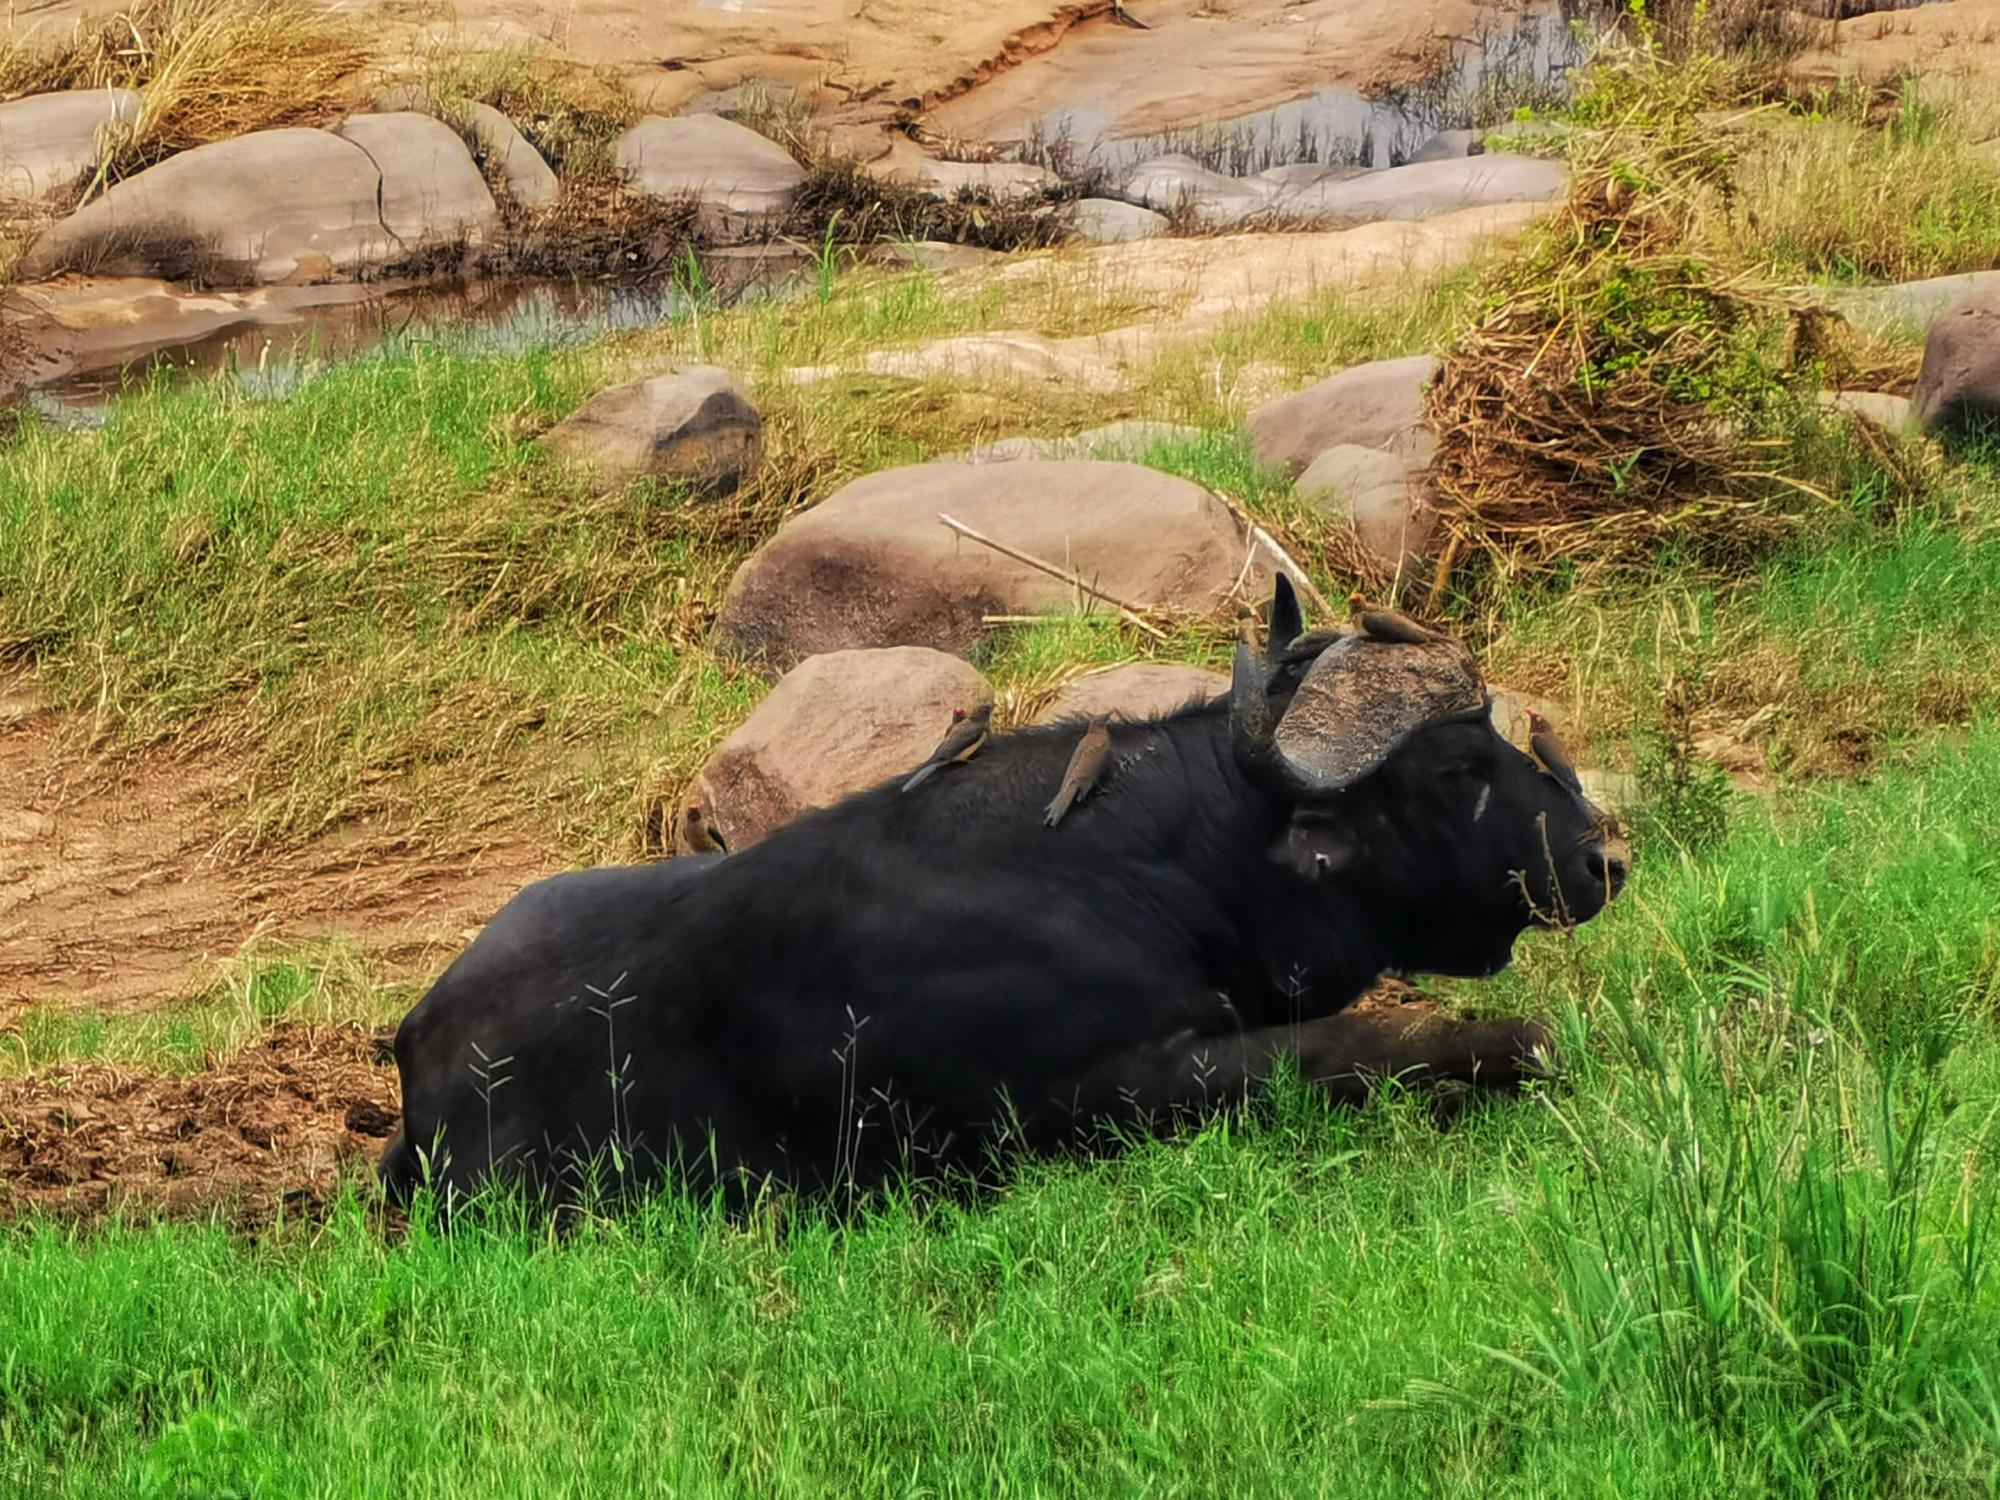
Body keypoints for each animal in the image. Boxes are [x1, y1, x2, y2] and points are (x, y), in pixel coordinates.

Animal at [386, 580, 1624, 1216]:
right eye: (1455, 771)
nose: (1600, 858)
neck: (1147, 869)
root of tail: (418, 1045)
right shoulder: (1100, 1089)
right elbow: (1351, 1048)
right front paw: (1509, 1043)